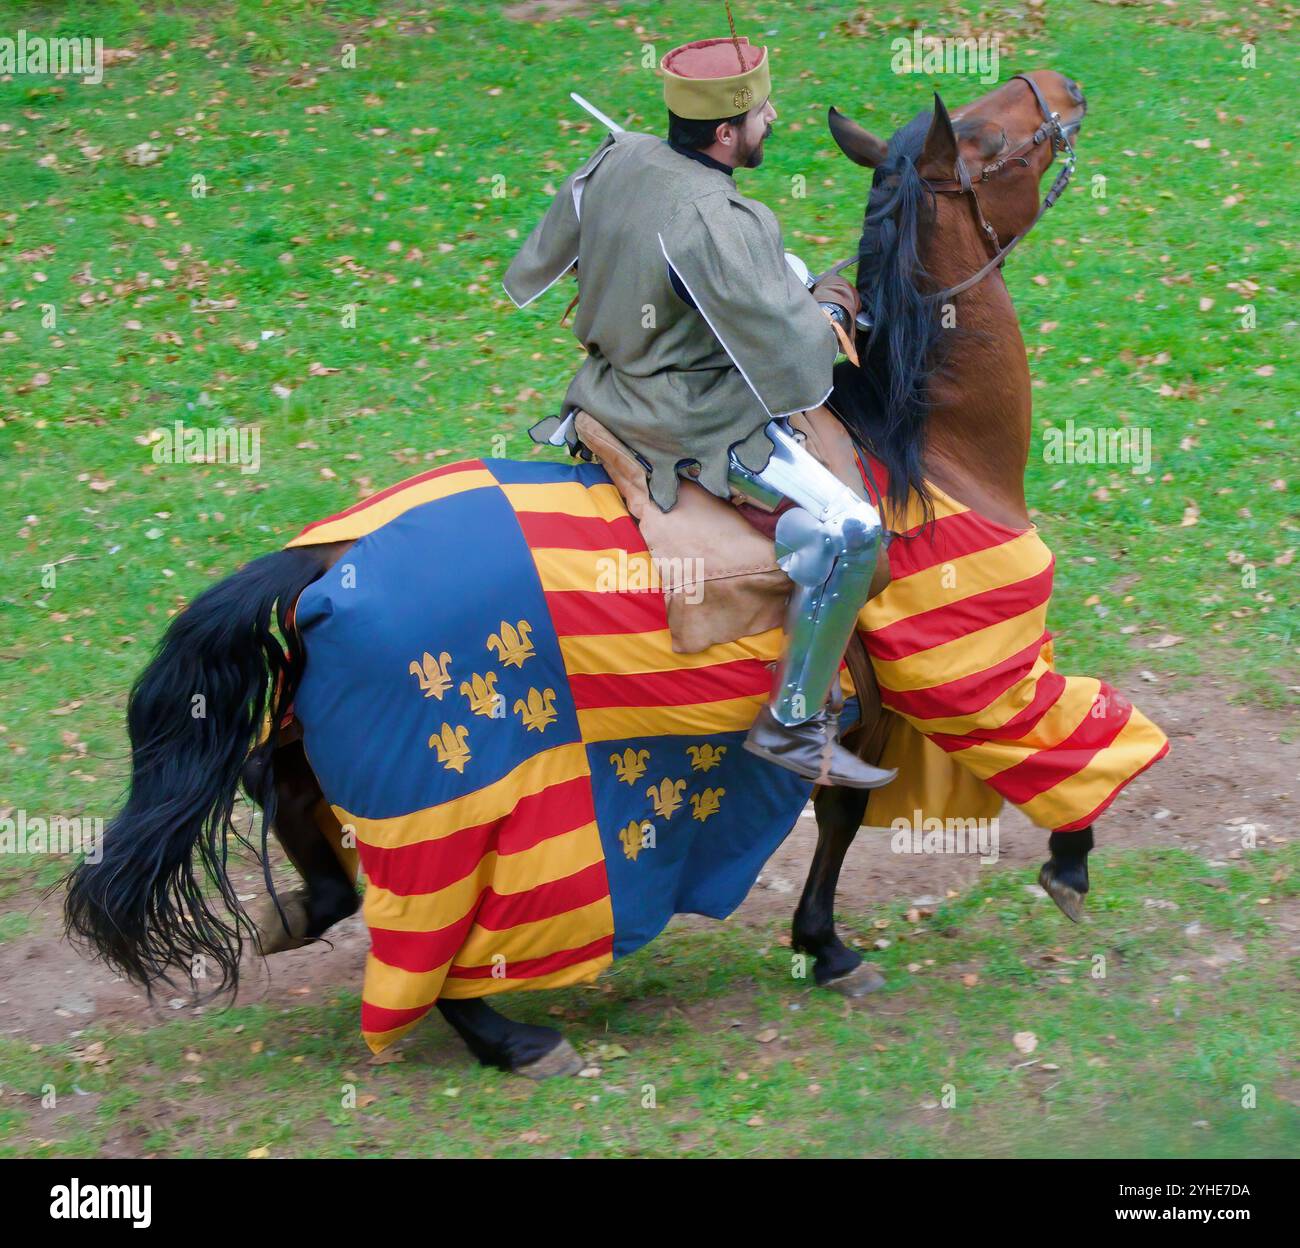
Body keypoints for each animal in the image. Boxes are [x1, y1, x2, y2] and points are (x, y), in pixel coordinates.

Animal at [65, 71, 1123, 1079]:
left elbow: (843, 809)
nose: (1068, 89)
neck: (919, 446)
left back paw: (307, 911)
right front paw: (1069, 865)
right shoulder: (968, 668)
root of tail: (329, 558)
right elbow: (1061, 740)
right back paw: (509, 1037)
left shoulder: (867, 709)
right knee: (438, 939)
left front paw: (824, 945)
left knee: (267, 773)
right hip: (461, 800)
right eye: (989, 135)